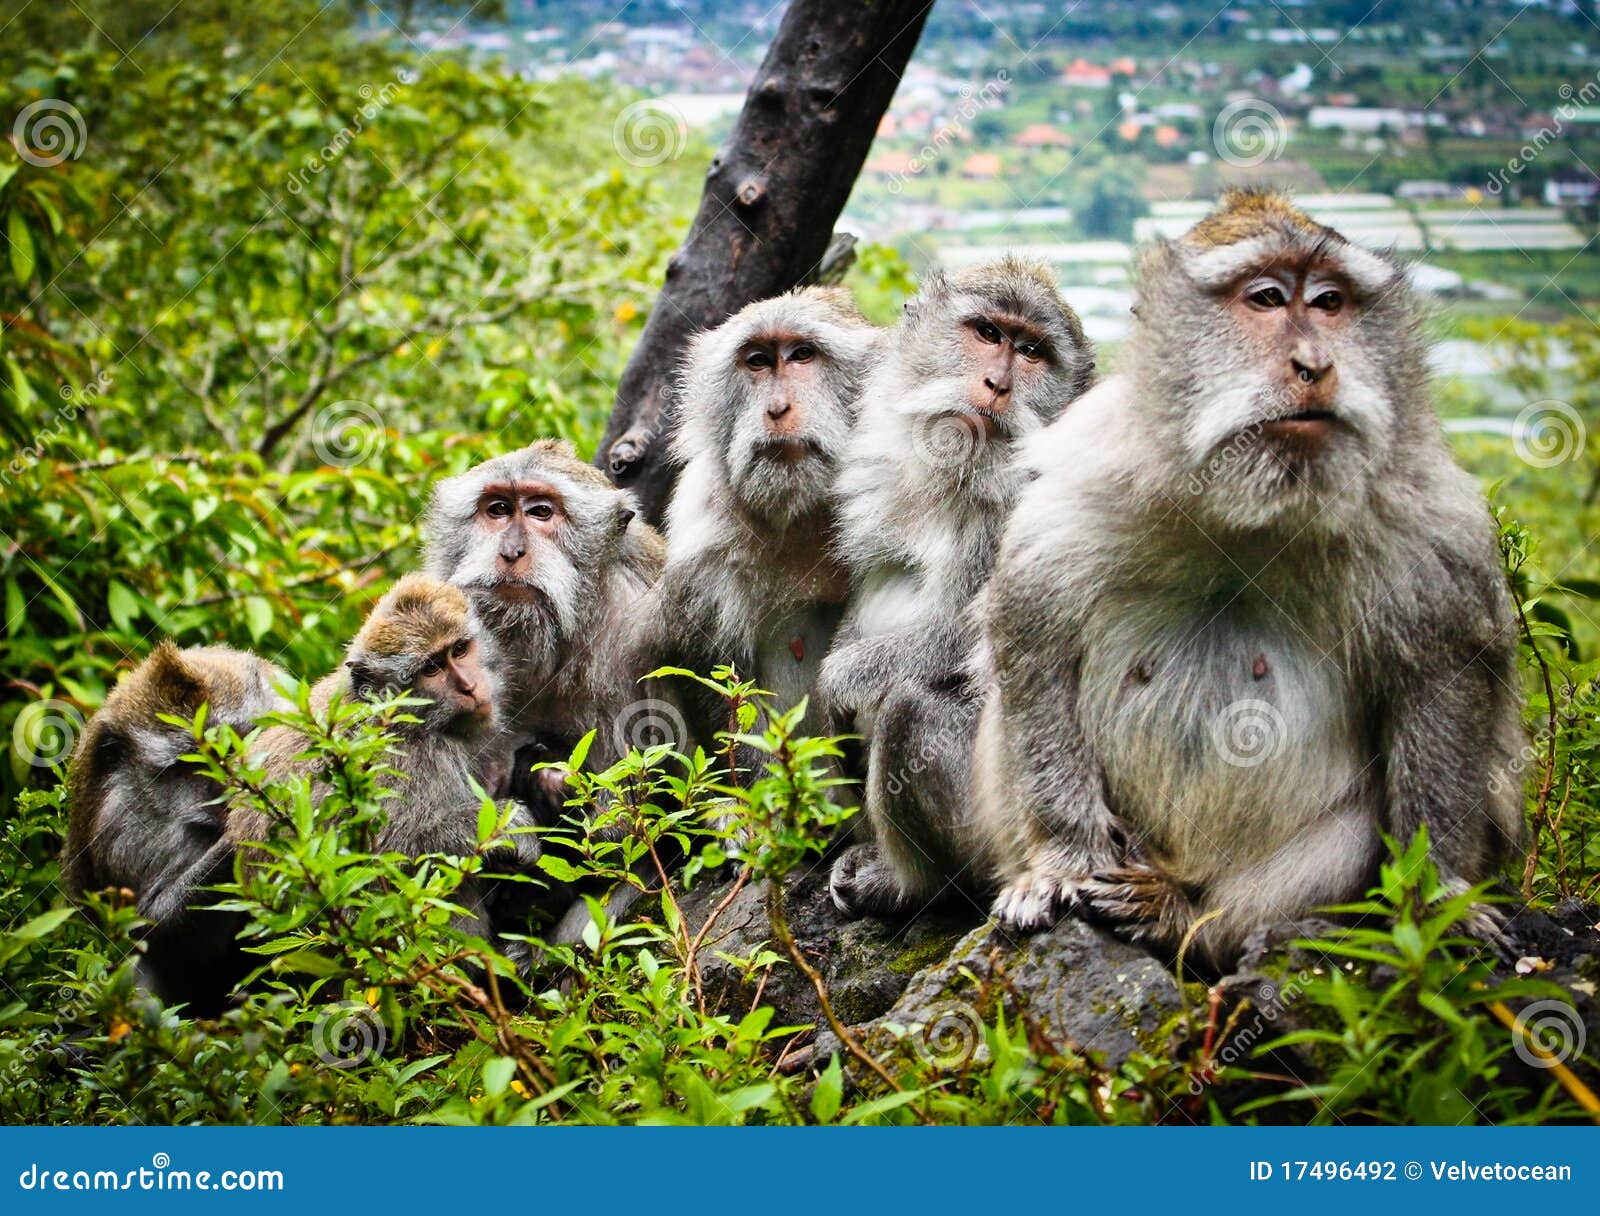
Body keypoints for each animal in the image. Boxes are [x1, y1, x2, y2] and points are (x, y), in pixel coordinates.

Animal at [632, 286, 882, 772]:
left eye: (802, 355)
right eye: (758, 361)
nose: (777, 408)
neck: (804, 515)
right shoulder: (706, 527)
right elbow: (702, 670)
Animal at [818, 258, 1095, 919]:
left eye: (1033, 351)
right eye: (988, 333)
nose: (997, 384)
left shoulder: (1016, 517)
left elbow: (968, 641)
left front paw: (836, 682)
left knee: (910, 714)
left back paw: (908, 884)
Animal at [973, 189, 1524, 967]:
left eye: (1329, 302)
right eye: (1265, 299)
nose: (1315, 363)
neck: (1247, 512)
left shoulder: (1432, 538)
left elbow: (1443, 689)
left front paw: (1442, 901)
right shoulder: (1074, 495)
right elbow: (1035, 656)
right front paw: (1061, 864)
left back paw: (1185, 918)